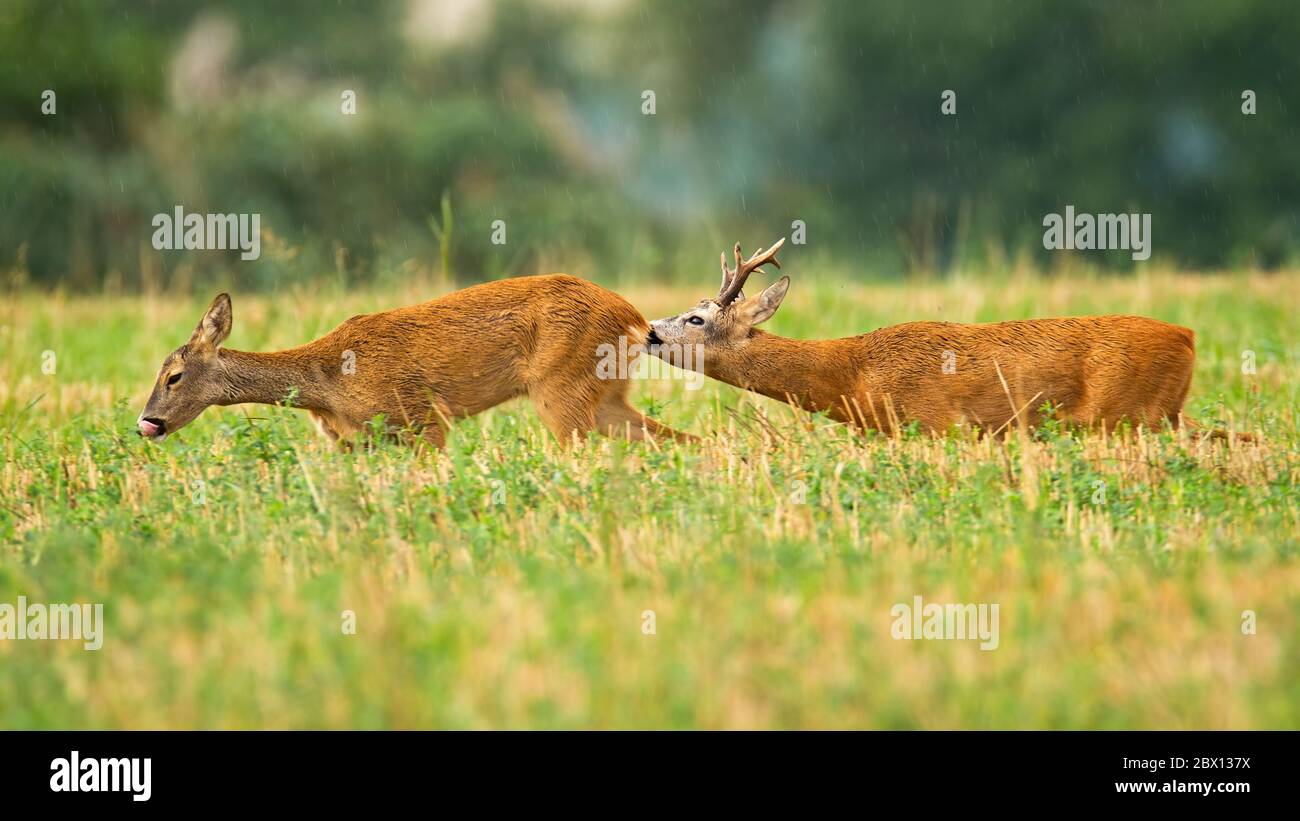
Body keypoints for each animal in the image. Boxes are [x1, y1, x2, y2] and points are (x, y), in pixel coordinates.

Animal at [137, 275, 693, 449]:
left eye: (174, 376)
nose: (147, 422)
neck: (327, 385)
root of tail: (634, 317)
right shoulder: (358, 441)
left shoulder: (422, 415)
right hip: (605, 395)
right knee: (680, 438)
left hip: (561, 387)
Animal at [647, 238, 1219, 438]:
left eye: (697, 319)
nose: (650, 332)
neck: (855, 373)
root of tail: (1188, 336)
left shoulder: (939, 423)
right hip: (1165, 413)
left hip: (1124, 414)